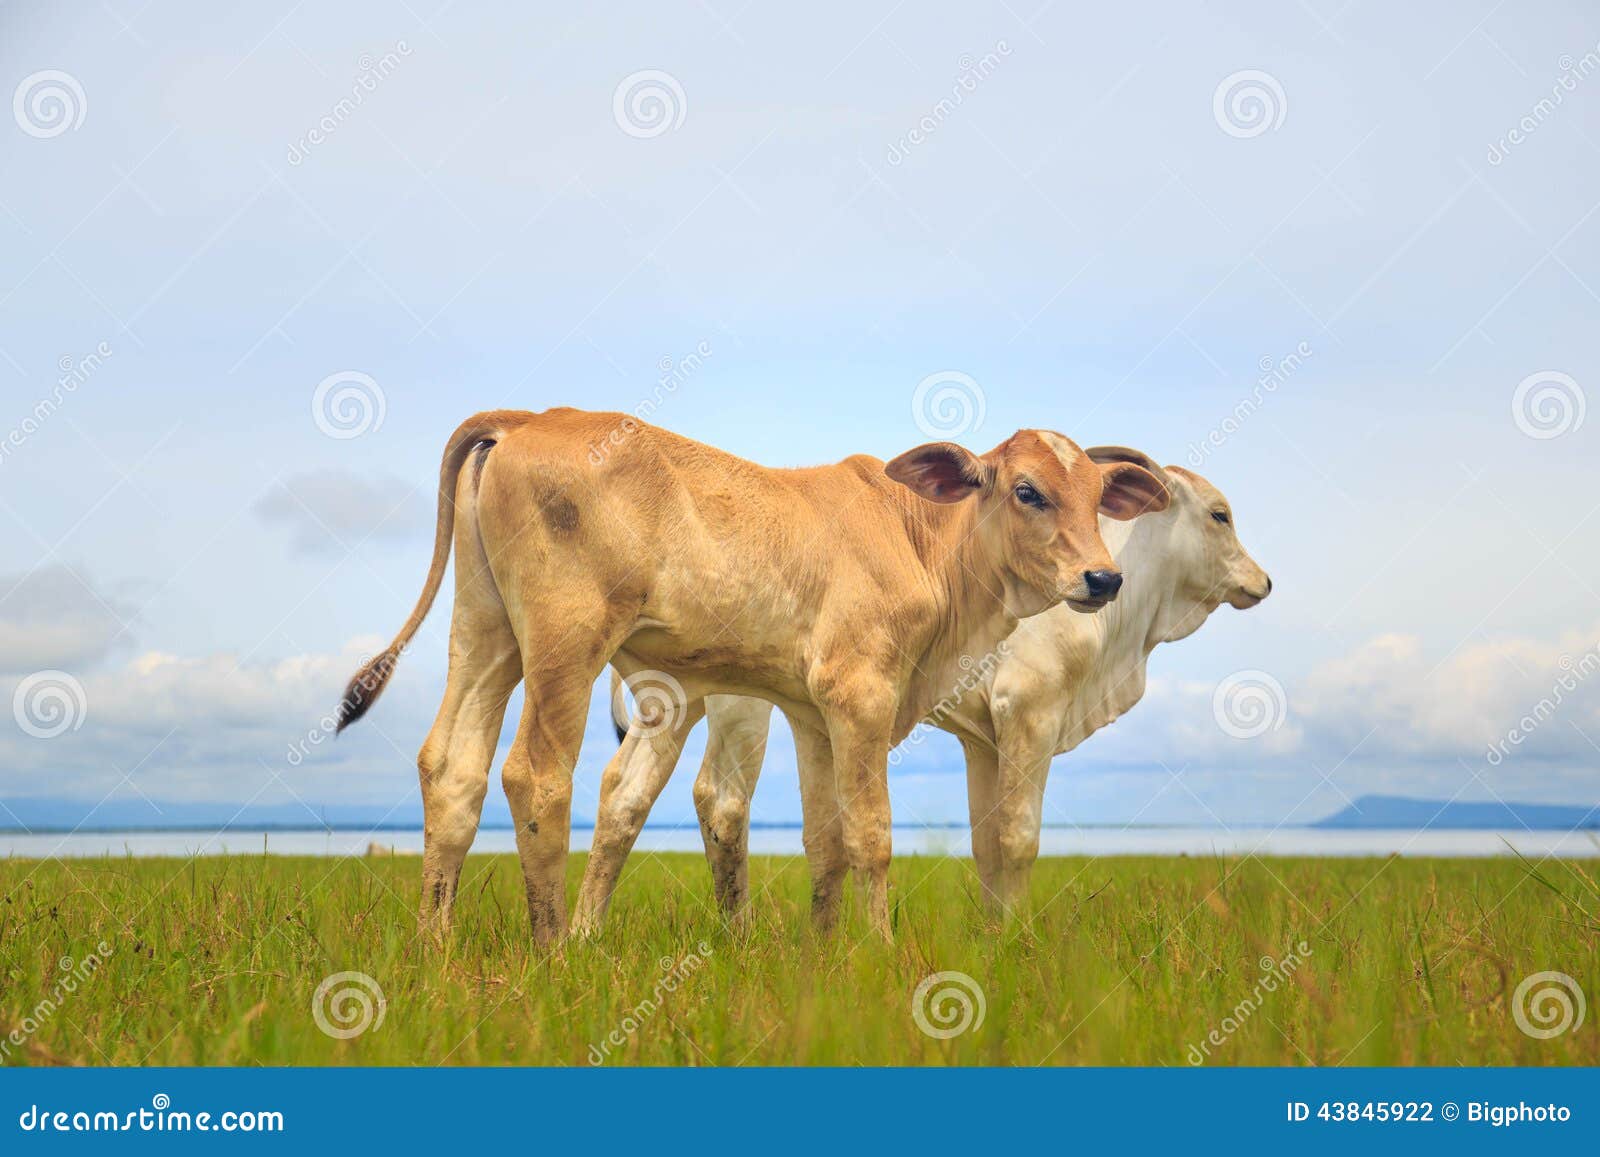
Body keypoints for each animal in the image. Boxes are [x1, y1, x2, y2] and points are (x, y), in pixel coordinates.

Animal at [334, 410, 1170, 943]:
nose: (1103, 577)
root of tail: (526, 418)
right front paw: (881, 952)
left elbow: (826, 838)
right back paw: (551, 949)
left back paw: (435, 948)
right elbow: (871, 835)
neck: (918, 540)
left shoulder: (811, 711)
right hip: (564, 644)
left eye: (1100, 497)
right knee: (534, 776)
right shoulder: (862, 693)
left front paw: (826, 953)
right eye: (1028, 490)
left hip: (485, 633)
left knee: (453, 768)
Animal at [609, 448, 1270, 917]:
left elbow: (988, 842)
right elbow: (1019, 837)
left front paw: (995, 935)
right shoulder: (1030, 713)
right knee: (722, 800)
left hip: (685, 699)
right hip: (742, 705)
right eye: (1221, 514)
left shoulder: (983, 740)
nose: (1262, 582)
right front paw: (1018, 939)